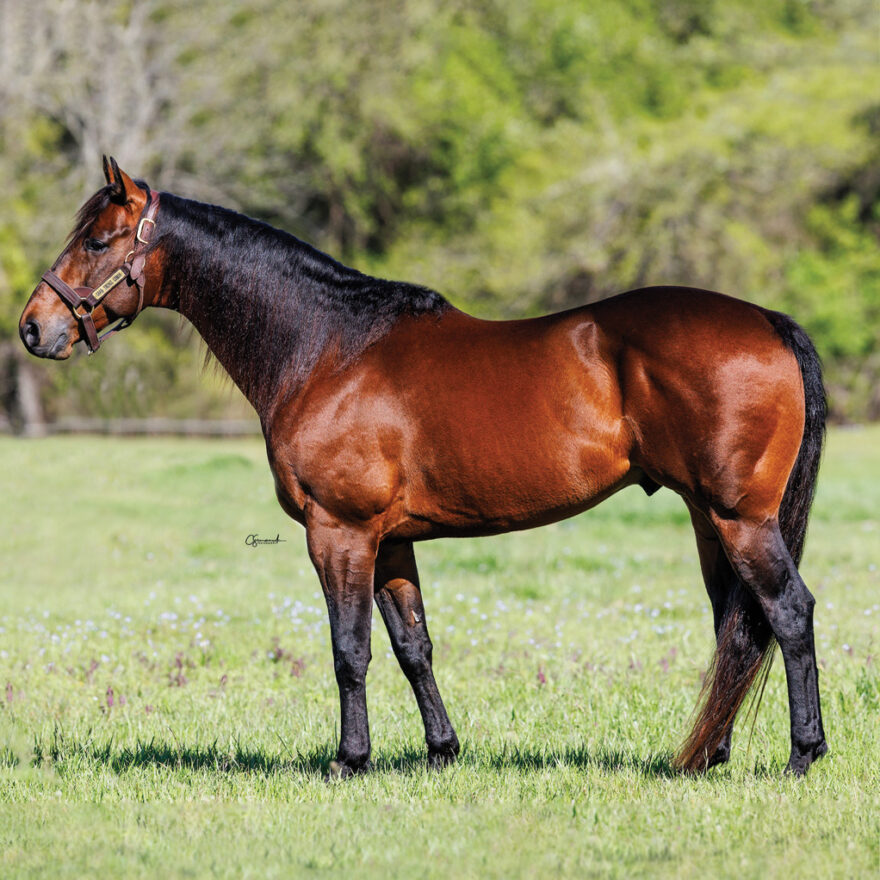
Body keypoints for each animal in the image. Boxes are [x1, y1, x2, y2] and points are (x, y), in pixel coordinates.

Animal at [19, 157, 828, 777]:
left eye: (97, 239)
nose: (34, 328)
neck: (327, 346)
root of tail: (767, 322)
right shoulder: (392, 541)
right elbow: (413, 646)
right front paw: (441, 752)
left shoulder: (339, 533)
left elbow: (349, 649)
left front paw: (350, 760)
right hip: (709, 519)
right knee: (735, 625)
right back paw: (708, 755)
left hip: (740, 518)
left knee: (788, 613)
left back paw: (801, 755)